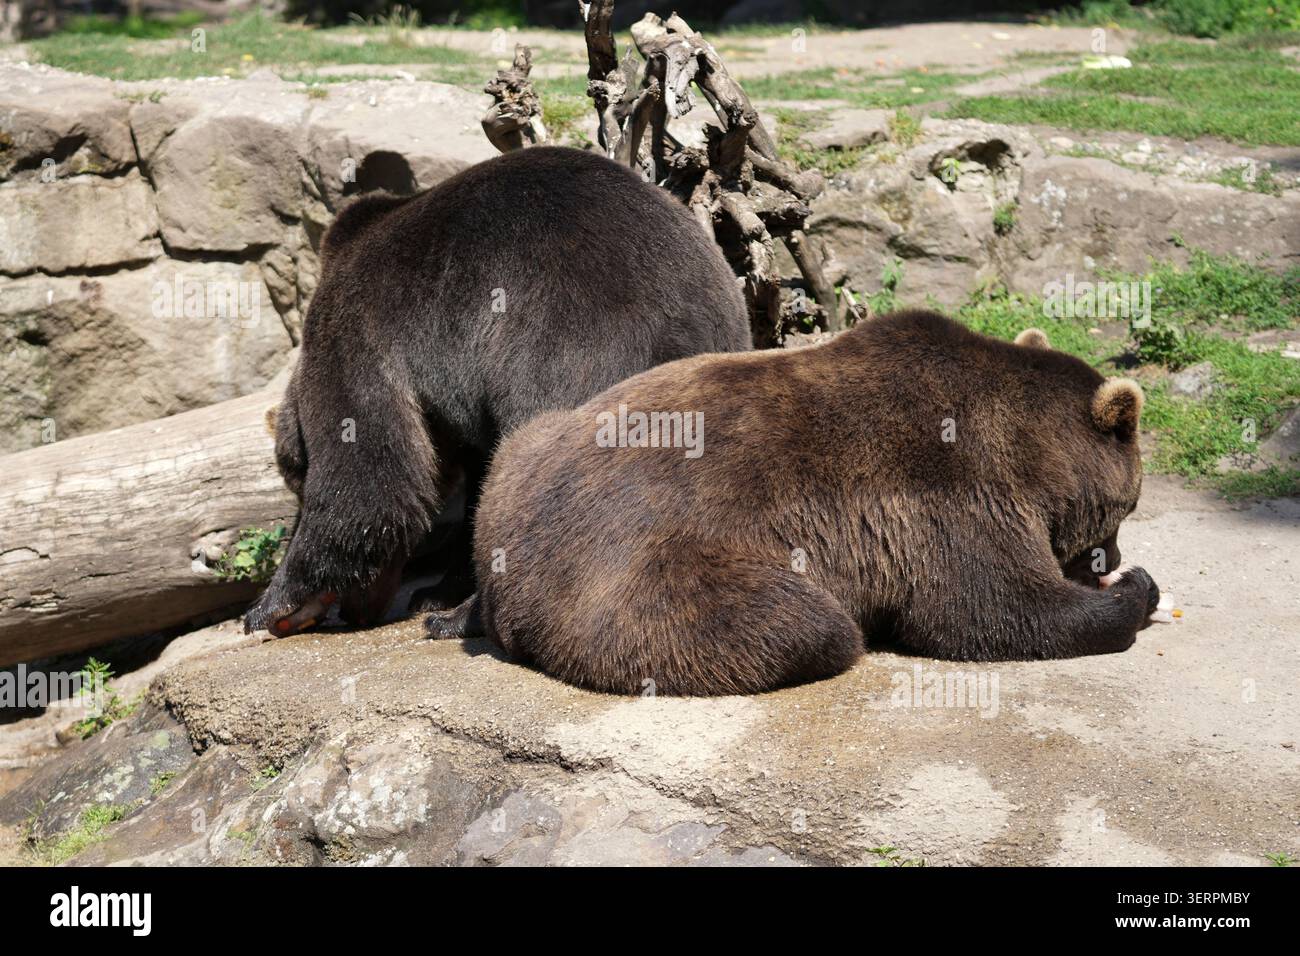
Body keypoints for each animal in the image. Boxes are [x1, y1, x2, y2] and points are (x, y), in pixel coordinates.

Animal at [243, 146, 751, 636]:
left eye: (296, 481)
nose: (354, 610)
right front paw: (436, 589)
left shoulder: (358, 340)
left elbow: (368, 478)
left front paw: (269, 604)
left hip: (562, 340)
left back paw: (461, 619)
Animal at [463, 309, 1163, 696]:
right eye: (1126, 507)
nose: (1107, 560)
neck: (1027, 450)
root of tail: (505, 585)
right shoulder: (954, 492)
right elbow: (995, 604)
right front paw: (1137, 591)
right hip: (644, 577)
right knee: (799, 624)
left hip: (525, 454)